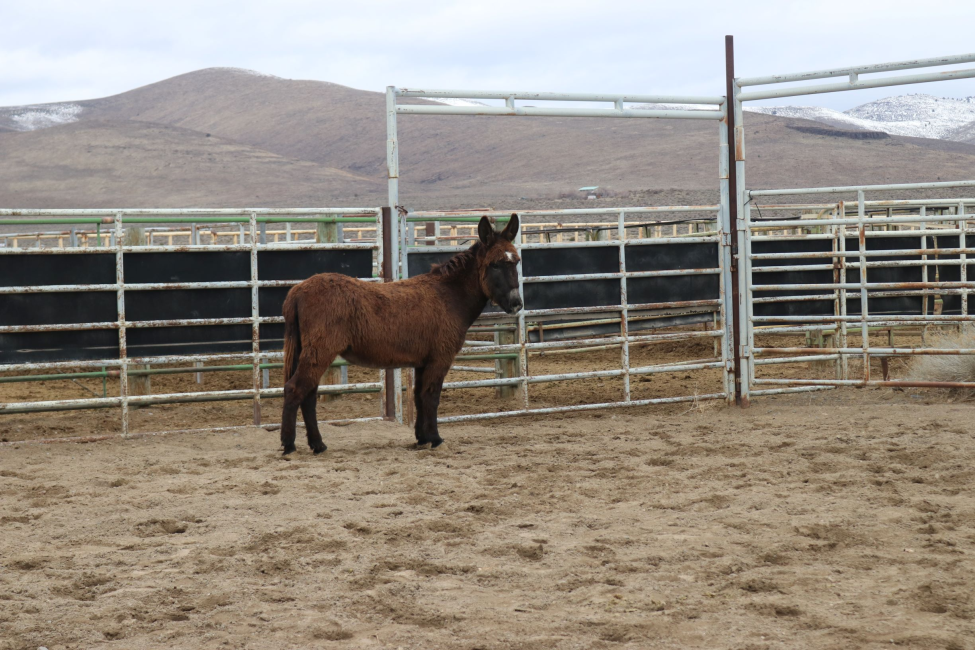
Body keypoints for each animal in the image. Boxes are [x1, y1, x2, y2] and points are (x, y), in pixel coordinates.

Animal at [278, 214, 522, 455]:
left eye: (517, 262)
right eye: (495, 265)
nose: (517, 304)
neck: (449, 296)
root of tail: (297, 290)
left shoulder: (423, 362)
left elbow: (418, 396)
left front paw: (422, 438)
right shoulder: (440, 358)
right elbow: (431, 396)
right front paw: (435, 439)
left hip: (310, 351)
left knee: (308, 395)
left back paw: (317, 444)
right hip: (320, 351)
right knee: (295, 389)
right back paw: (289, 444)